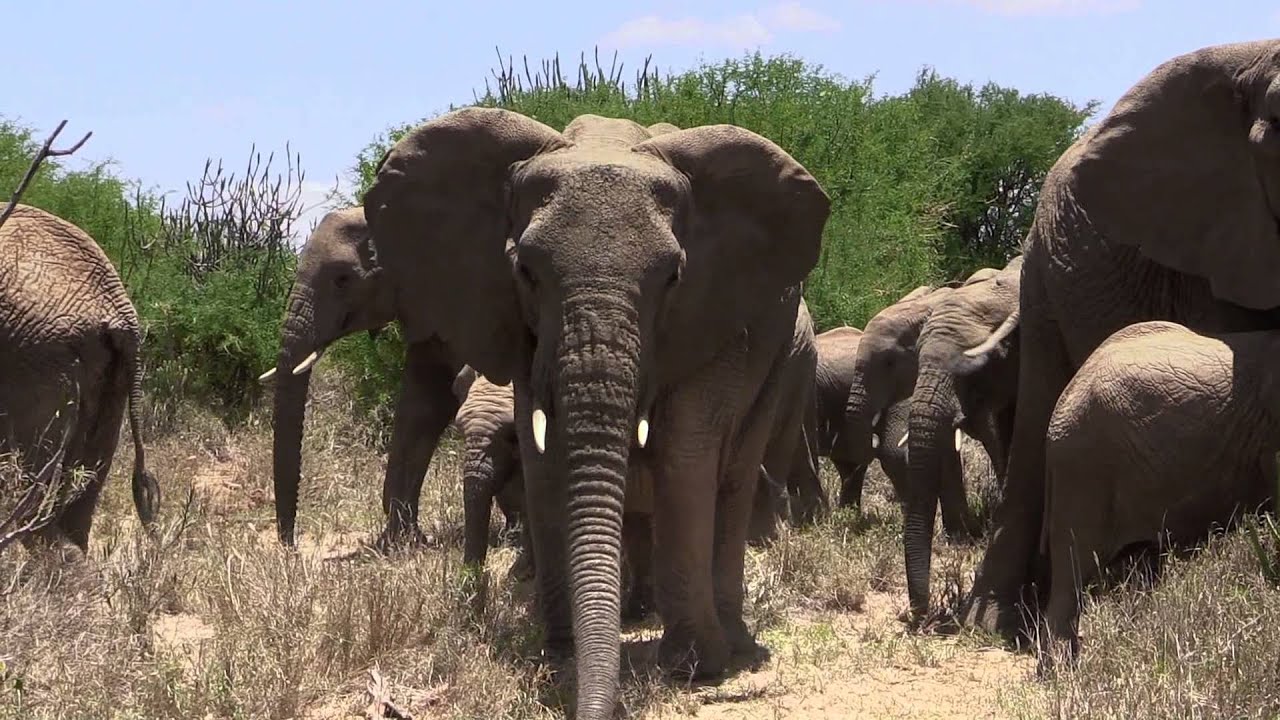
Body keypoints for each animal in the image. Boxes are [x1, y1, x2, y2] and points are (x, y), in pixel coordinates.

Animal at [362, 109, 829, 718]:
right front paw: (559, 657)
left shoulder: (713, 319)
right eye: (526, 271)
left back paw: (734, 645)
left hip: (783, 359)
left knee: (733, 479)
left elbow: (686, 459)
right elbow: (545, 464)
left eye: (674, 277)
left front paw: (695, 669)